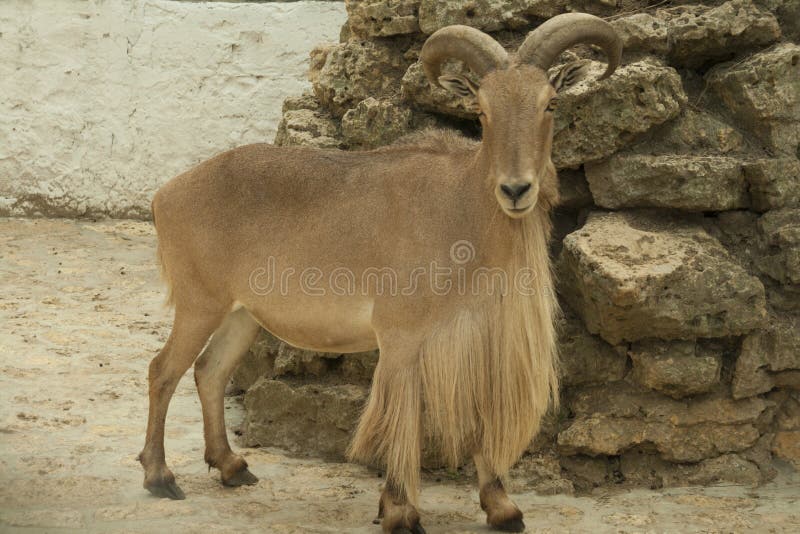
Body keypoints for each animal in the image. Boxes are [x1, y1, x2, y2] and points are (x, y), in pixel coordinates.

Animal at [138, 13, 621, 533]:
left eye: (549, 104)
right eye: (482, 111)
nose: (515, 190)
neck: (464, 206)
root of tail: (165, 195)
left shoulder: (473, 338)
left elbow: (476, 417)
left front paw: (502, 507)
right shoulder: (402, 336)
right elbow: (401, 414)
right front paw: (399, 509)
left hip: (242, 313)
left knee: (210, 370)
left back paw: (231, 467)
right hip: (199, 303)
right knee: (163, 370)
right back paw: (159, 476)